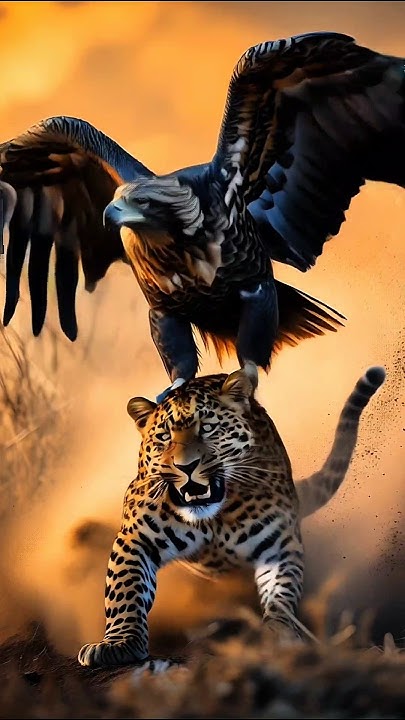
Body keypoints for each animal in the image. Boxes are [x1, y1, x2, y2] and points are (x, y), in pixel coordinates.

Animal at [78, 362, 386, 668]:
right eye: (164, 437)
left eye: (207, 428)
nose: (186, 466)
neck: (212, 517)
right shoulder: (135, 539)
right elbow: (124, 590)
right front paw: (120, 644)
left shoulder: (278, 546)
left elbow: (282, 592)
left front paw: (279, 632)